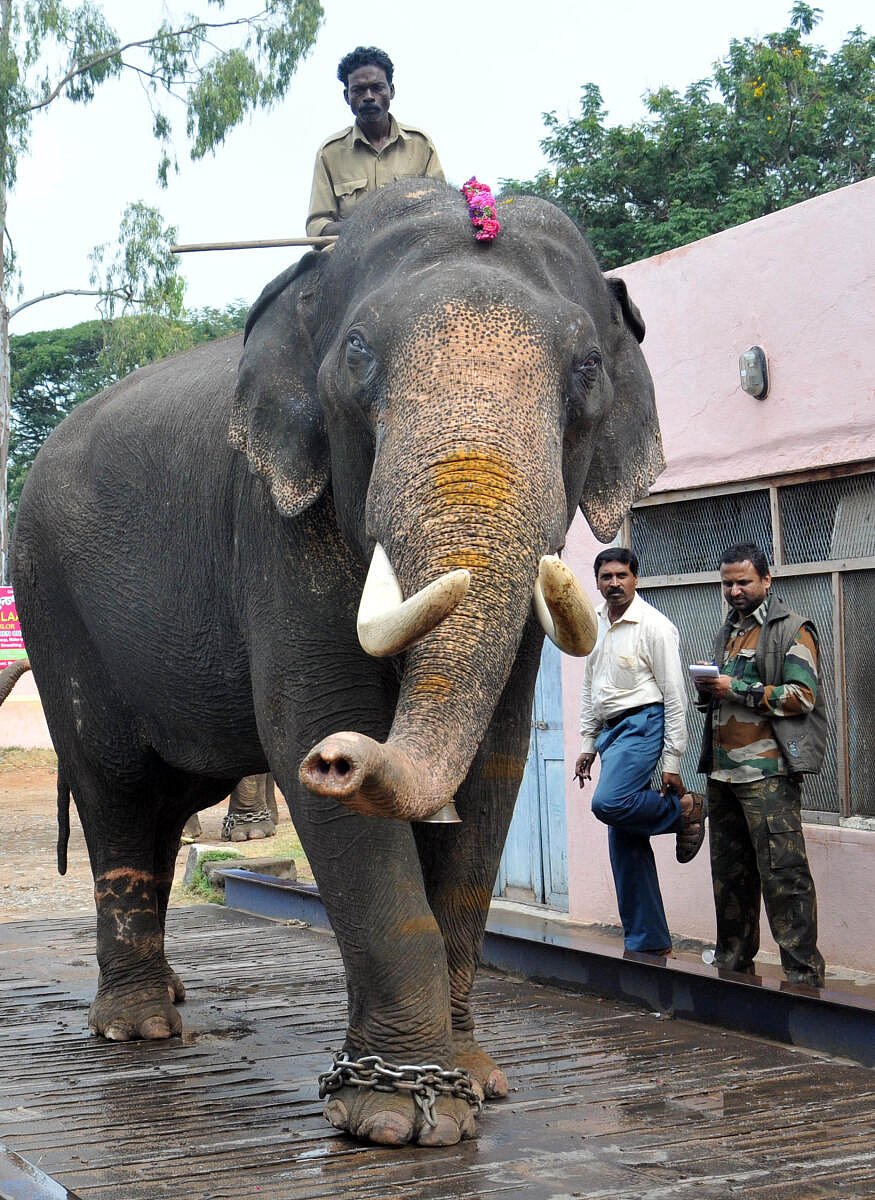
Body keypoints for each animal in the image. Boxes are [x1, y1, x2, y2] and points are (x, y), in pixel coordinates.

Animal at [10, 178, 663, 1147]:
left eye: (585, 368)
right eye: (358, 353)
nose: (346, 761)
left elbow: (495, 767)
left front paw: (472, 1085)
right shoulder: (274, 521)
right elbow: (309, 722)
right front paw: (395, 1116)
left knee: (162, 805)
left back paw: (167, 999)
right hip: (50, 597)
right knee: (117, 787)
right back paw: (139, 1026)